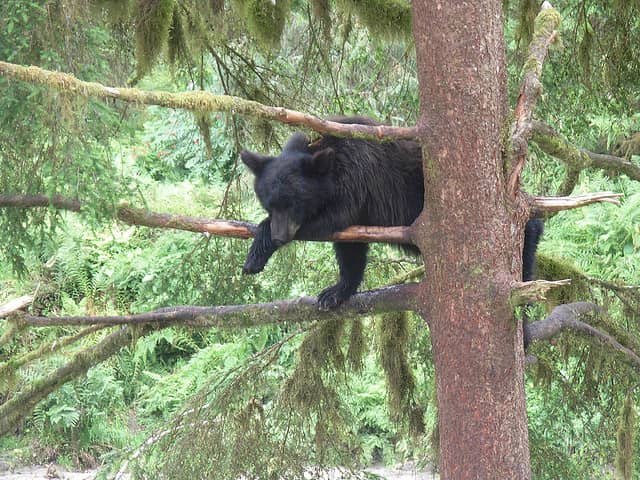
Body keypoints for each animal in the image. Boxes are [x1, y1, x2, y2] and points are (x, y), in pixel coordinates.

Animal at [240, 116, 543, 313]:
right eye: (268, 202)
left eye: (293, 203)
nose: (280, 237)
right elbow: (350, 249)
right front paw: (336, 292)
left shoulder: (357, 179)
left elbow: (333, 218)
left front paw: (258, 249)